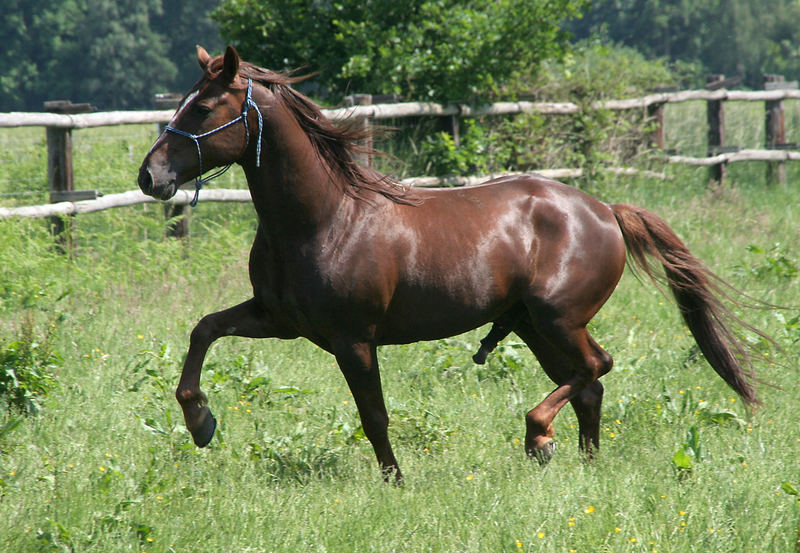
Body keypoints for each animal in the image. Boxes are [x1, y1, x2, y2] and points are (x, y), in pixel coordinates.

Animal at [139, 46, 768, 478]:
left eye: (203, 107)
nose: (151, 176)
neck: (325, 219)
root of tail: (606, 211)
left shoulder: (353, 339)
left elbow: (374, 416)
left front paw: (395, 483)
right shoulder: (279, 320)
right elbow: (204, 330)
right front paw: (200, 423)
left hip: (558, 318)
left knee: (597, 367)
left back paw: (539, 437)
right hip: (536, 327)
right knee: (588, 384)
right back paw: (585, 465)